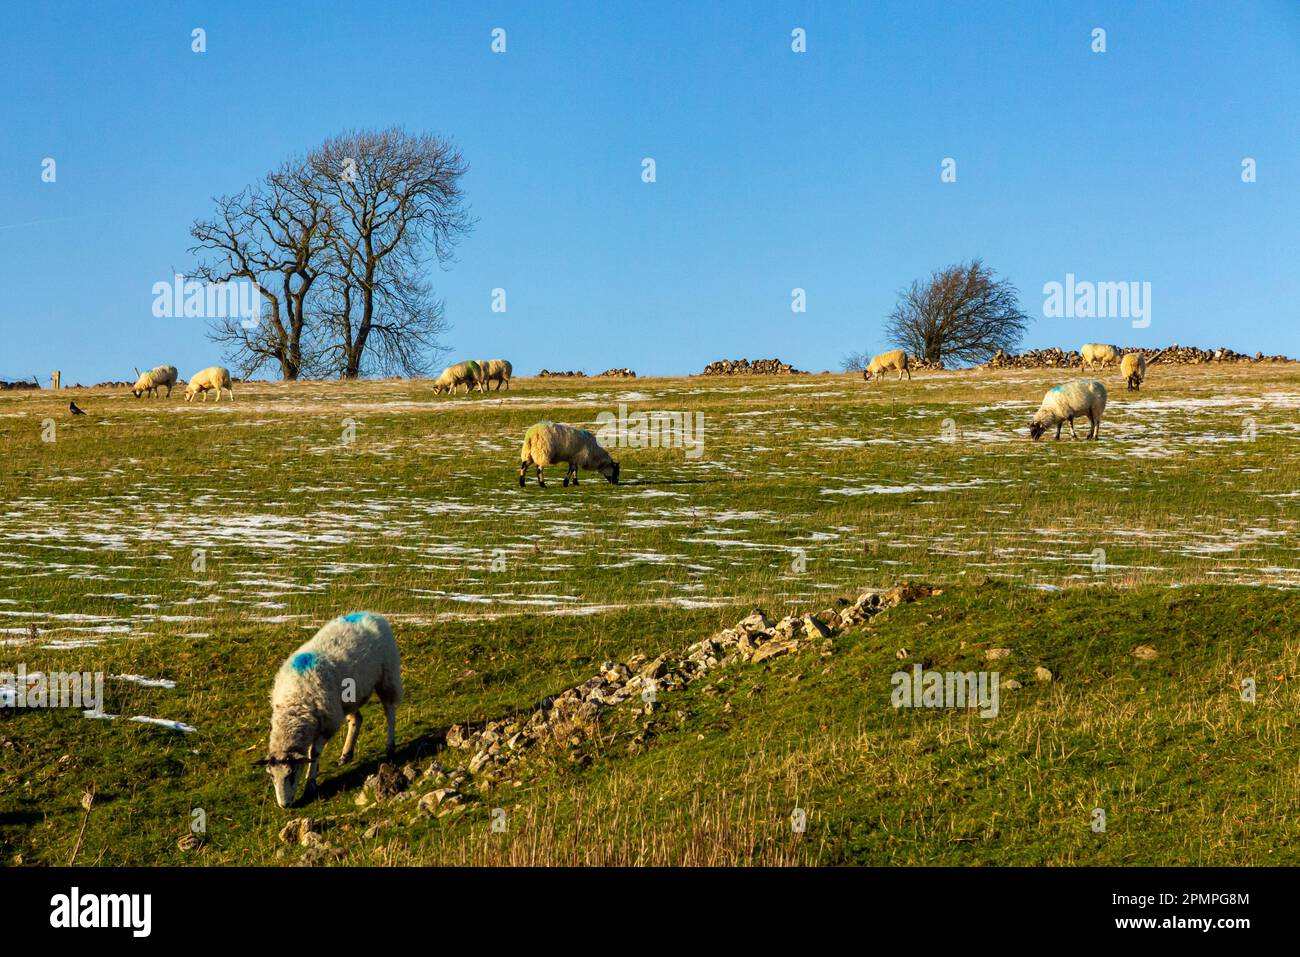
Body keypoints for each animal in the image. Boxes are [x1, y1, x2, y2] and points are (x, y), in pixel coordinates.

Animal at [257, 612, 403, 808]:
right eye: (272, 777)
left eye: (291, 774)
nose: (284, 805)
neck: (294, 704)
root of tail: (372, 614)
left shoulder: (328, 723)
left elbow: (314, 753)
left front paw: (310, 783)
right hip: (347, 700)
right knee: (357, 719)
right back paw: (346, 754)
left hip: (387, 676)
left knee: (389, 711)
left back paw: (390, 745)